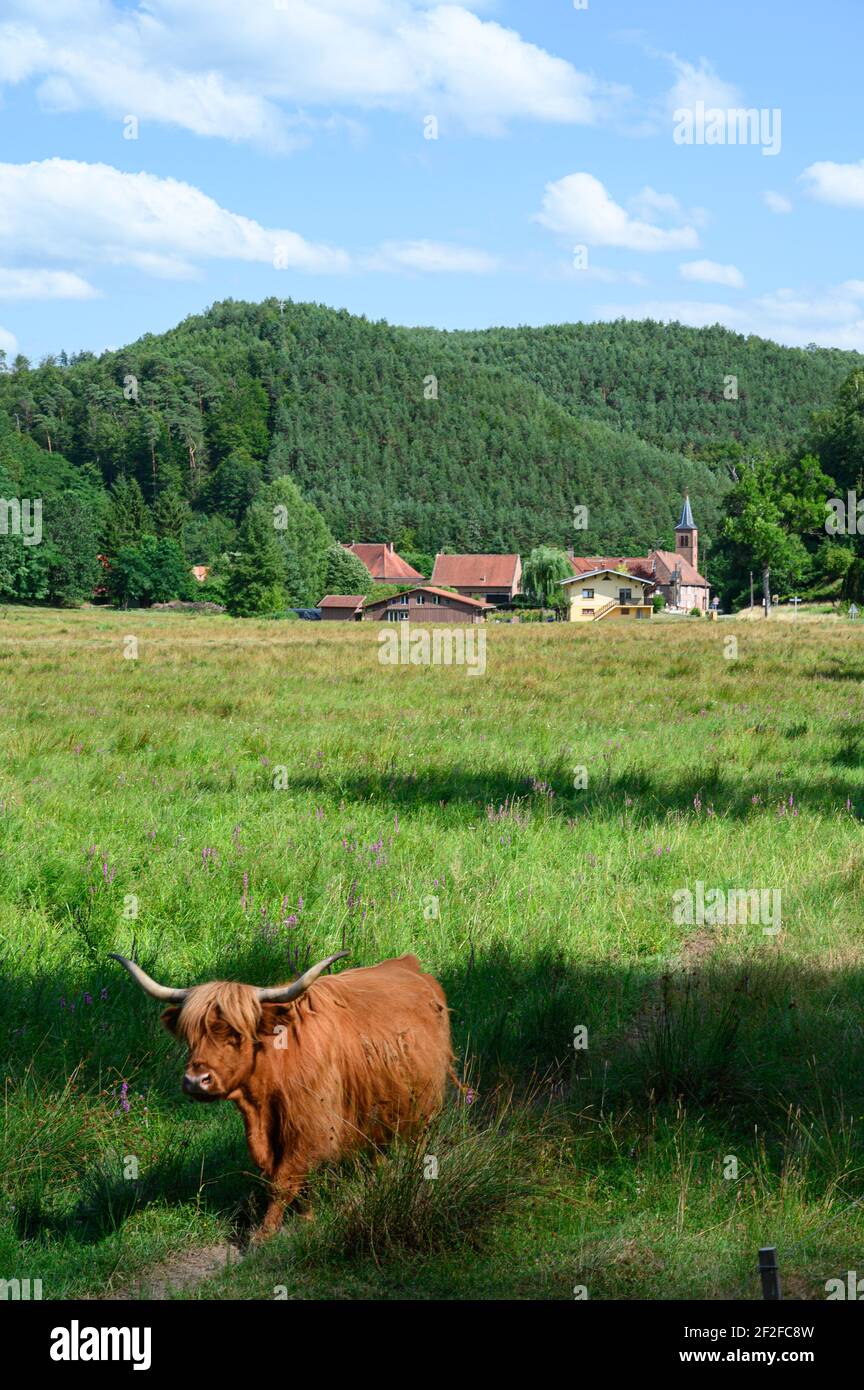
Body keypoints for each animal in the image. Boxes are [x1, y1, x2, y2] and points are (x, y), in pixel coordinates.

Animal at [109, 950, 454, 1240]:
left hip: (425, 1108)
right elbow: (291, 1179)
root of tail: (411, 965)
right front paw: (307, 1218)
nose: (196, 1081)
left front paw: (264, 1234)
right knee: (378, 1150)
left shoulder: (312, 1126)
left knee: (417, 1149)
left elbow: (284, 1180)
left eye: (236, 1034)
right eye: (191, 1034)